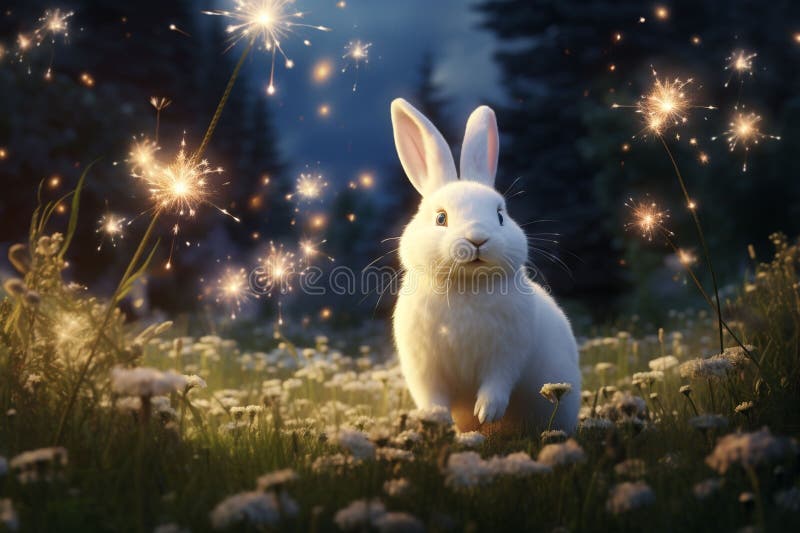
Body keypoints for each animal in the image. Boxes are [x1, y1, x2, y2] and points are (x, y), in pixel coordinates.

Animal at [390, 98, 581, 434]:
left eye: (501, 215)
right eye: (441, 218)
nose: (477, 238)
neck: (467, 285)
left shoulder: (507, 353)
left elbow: (497, 383)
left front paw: (486, 413)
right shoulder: (424, 366)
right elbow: (432, 396)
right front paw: (437, 419)